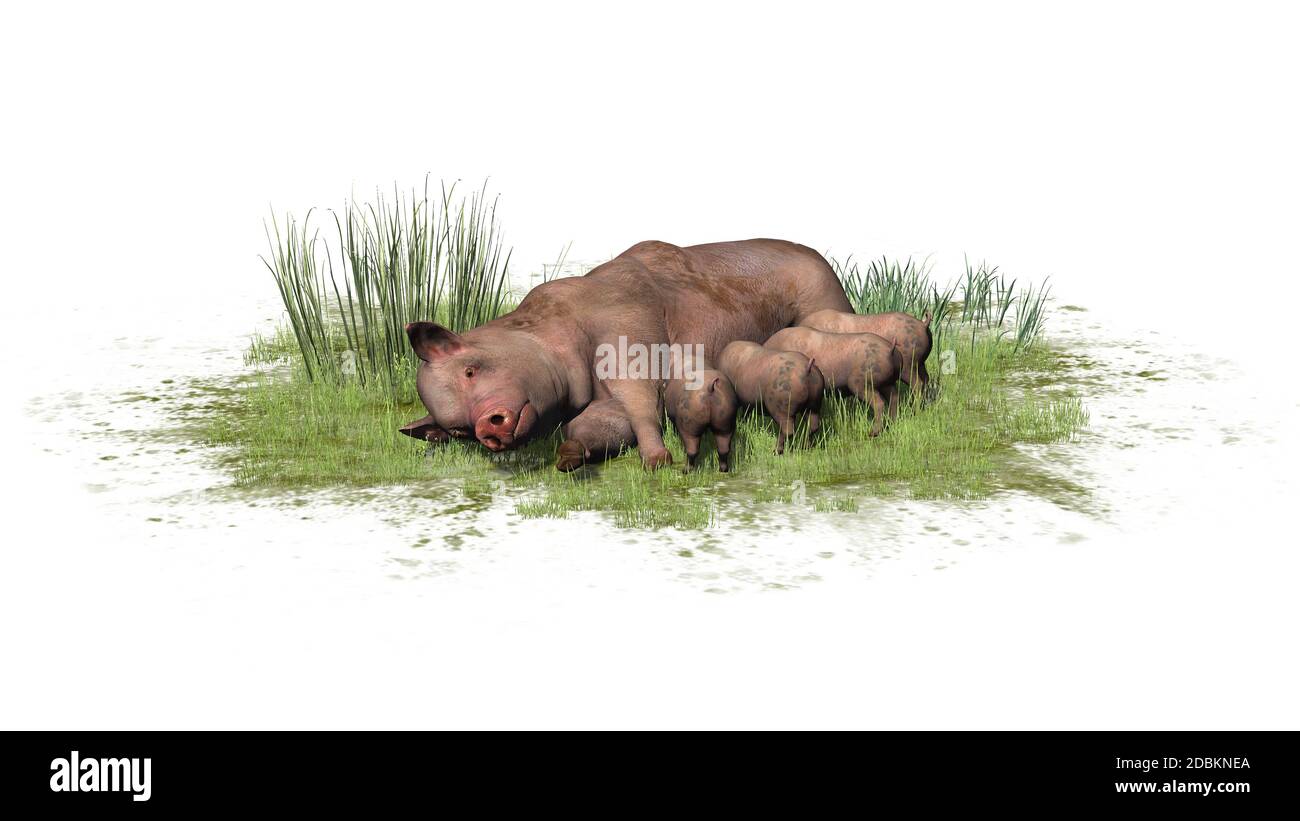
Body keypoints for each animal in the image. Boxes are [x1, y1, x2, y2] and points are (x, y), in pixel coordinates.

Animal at [400, 239, 854, 470]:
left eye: (471, 369)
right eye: (458, 431)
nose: (485, 426)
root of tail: (818, 256)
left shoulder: (634, 341)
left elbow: (640, 403)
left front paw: (657, 461)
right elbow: (598, 425)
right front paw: (567, 458)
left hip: (826, 297)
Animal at [763, 326, 902, 437]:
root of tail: (891, 349)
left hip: (860, 382)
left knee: (879, 402)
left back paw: (873, 432)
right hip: (887, 383)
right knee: (894, 397)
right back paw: (892, 424)